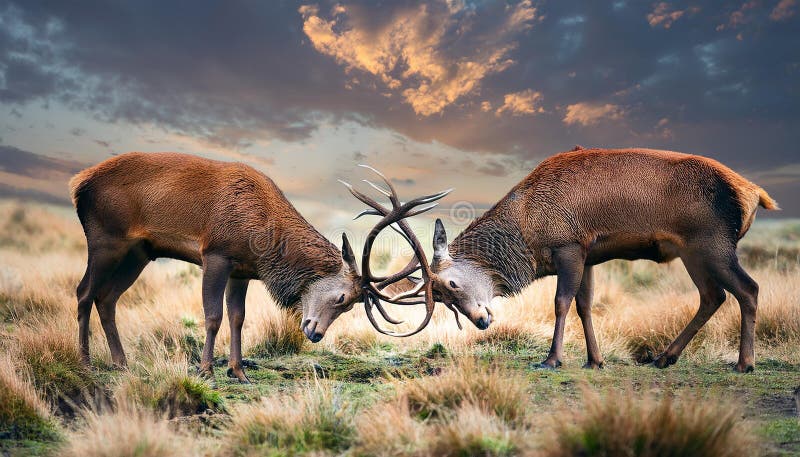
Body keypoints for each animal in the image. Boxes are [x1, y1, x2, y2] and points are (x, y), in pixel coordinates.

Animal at [70, 153, 445, 383]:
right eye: (342, 298)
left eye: (351, 306)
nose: (315, 333)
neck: (264, 242)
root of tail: (78, 185)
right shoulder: (215, 253)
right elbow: (213, 315)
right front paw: (205, 370)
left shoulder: (241, 270)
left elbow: (238, 317)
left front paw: (239, 372)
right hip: (105, 239)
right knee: (84, 292)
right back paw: (85, 362)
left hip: (138, 253)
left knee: (107, 298)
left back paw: (121, 363)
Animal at [361, 147, 778, 373]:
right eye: (447, 302)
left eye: (450, 284)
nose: (481, 321)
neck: (527, 231)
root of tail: (754, 193)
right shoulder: (589, 255)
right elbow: (585, 304)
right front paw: (595, 360)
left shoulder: (569, 246)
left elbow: (561, 302)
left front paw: (552, 358)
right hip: (694, 252)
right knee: (713, 296)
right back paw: (664, 358)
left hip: (712, 243)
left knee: (749, 289)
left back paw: (744, 363)